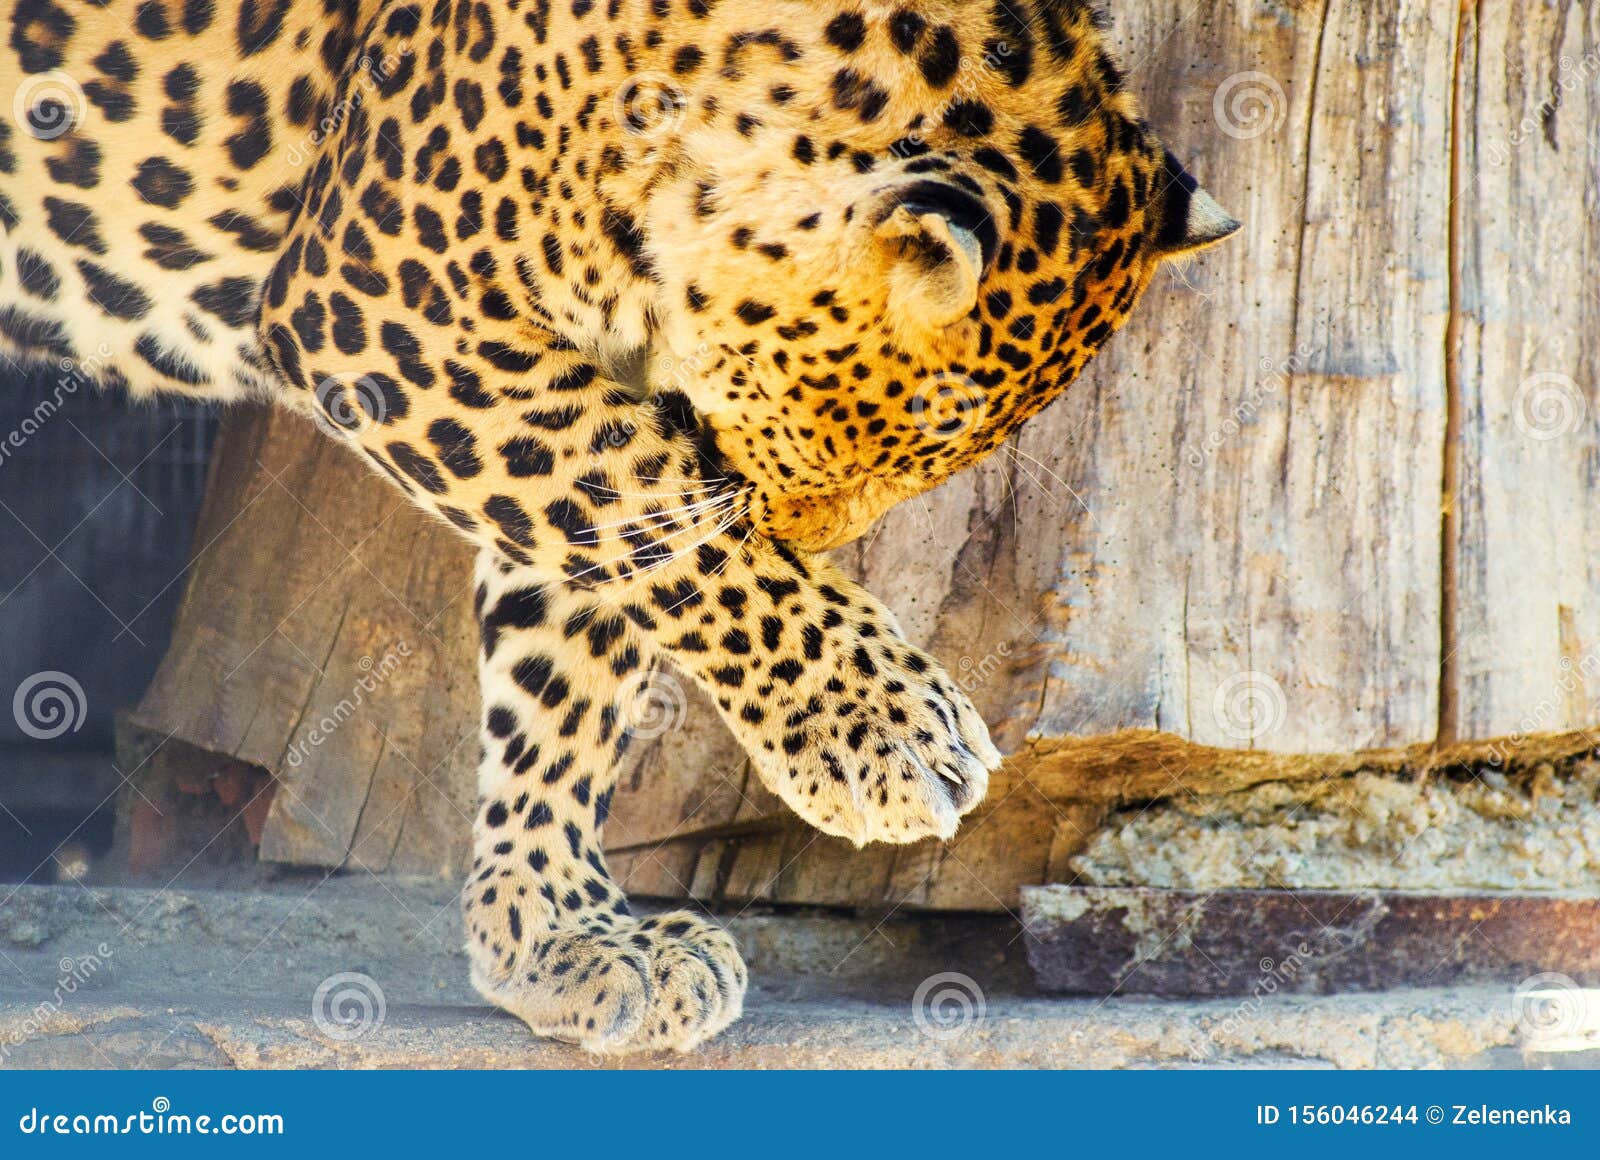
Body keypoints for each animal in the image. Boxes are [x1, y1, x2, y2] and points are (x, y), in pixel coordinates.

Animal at [0, 0, 1237, 1052]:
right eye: (868, 446)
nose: (806, 531)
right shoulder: (388, 308)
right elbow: (669, 531)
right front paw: (882, 732)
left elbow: (575, 651)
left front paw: (562, 933)